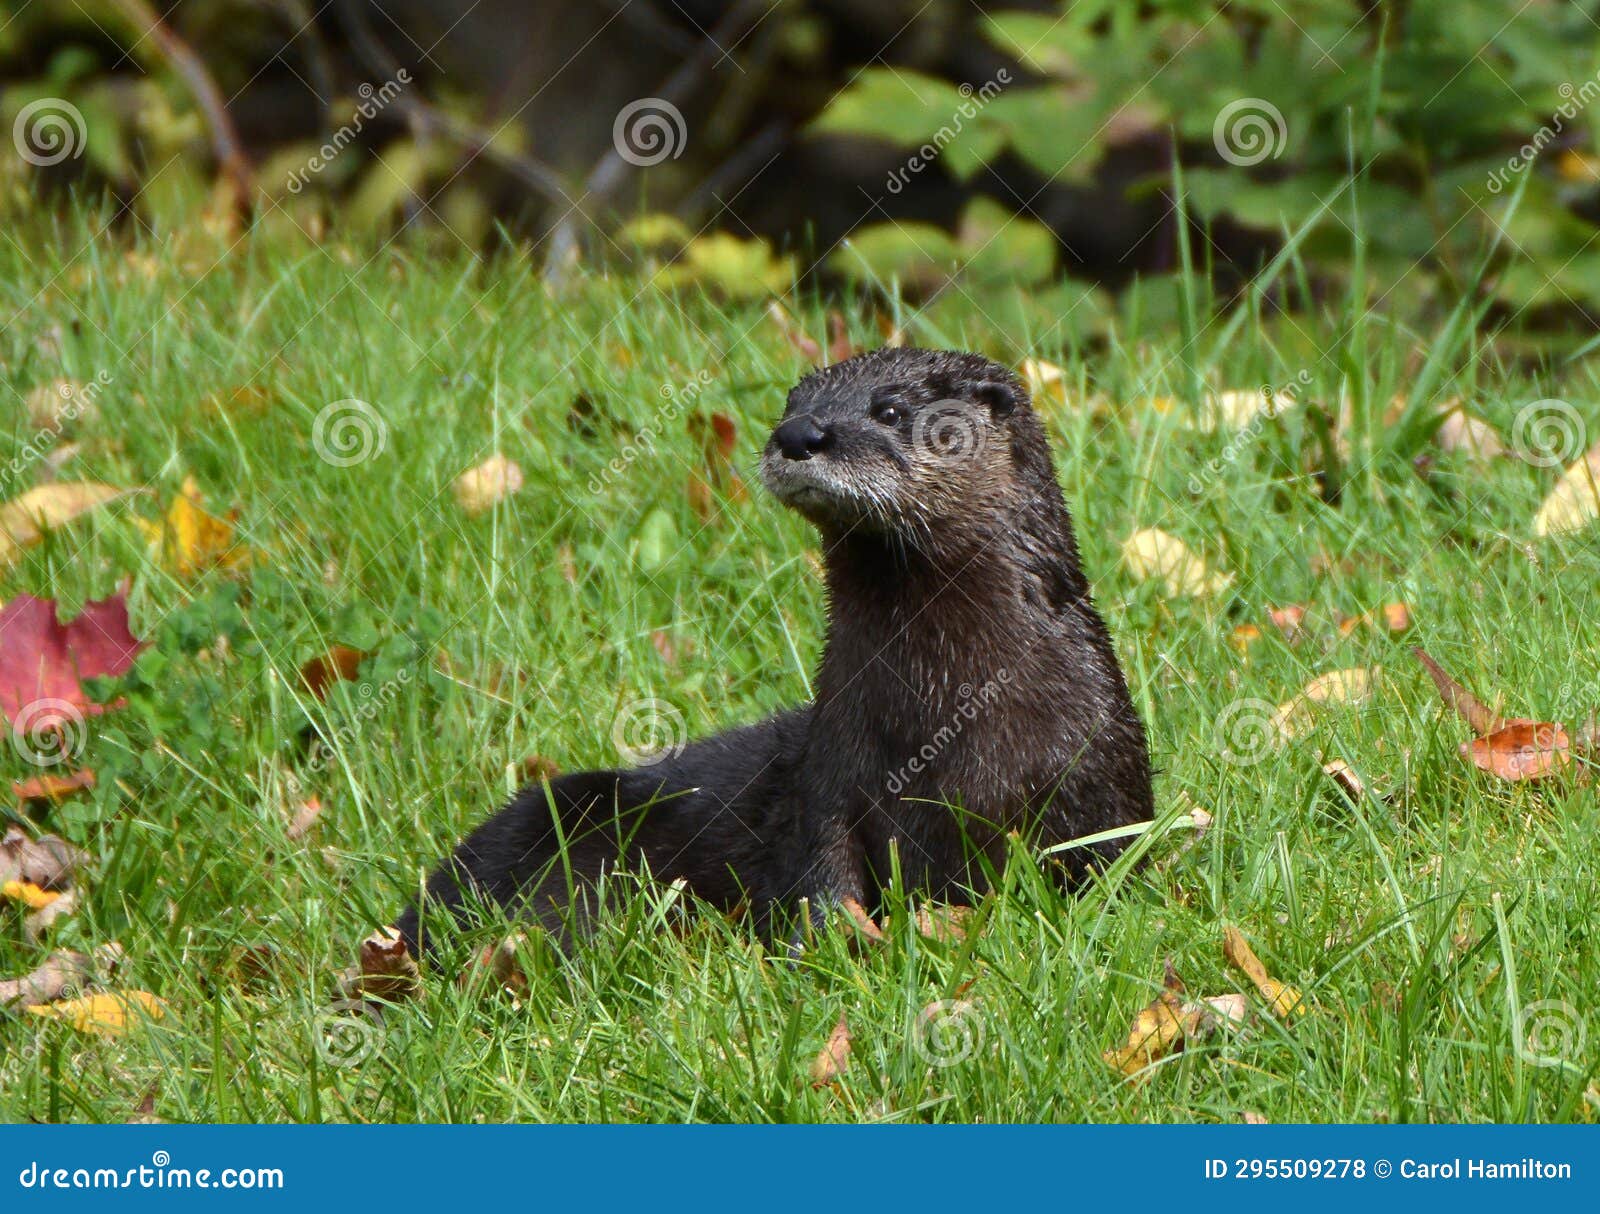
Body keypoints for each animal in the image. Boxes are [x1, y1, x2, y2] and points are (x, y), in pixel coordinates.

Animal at [396, 347, 1152, 953]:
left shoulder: (1098, 770)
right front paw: (824, 943)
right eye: (792, 402)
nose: (799, 434)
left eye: (891, 408)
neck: (937, 711)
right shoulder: (828, 771)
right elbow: (817, 867)